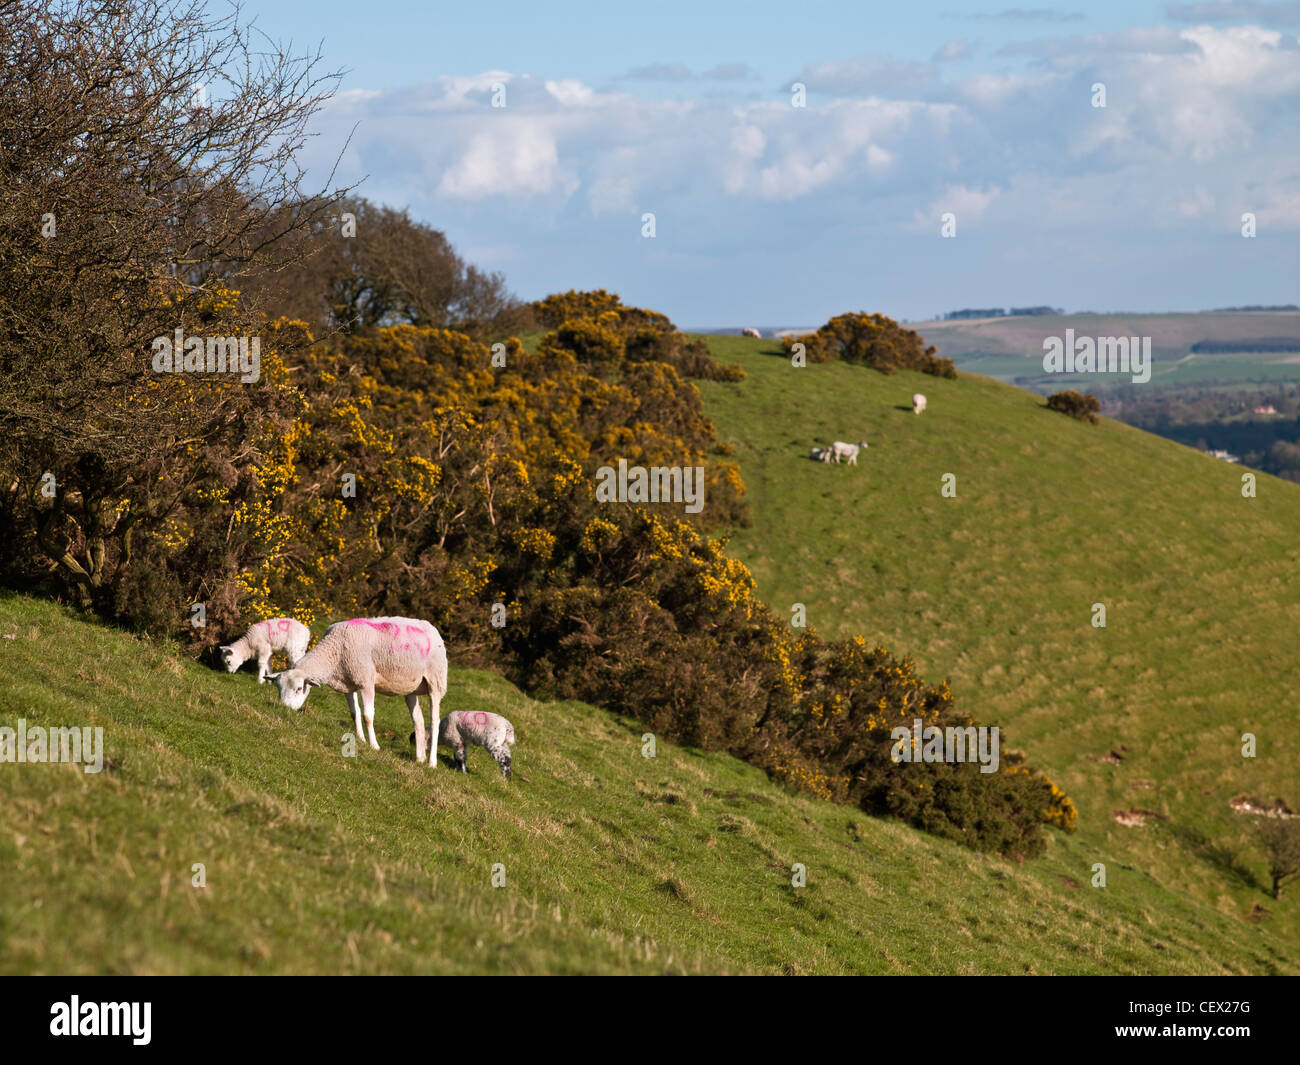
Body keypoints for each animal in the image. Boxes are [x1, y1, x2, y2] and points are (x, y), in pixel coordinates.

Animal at [269, 616, 447, 764]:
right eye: (278, 688)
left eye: (299, 688)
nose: (284, 708)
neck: (335, 648)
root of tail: (432, 628)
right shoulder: (348, 683)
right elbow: (354, 714)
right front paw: (361, 739)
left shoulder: (366, 681)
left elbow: (368, 716)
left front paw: (374, 746)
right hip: (411, 688)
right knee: (418, 720)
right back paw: (419, 758)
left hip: (436, 681)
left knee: (434, 721)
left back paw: (432, 762)